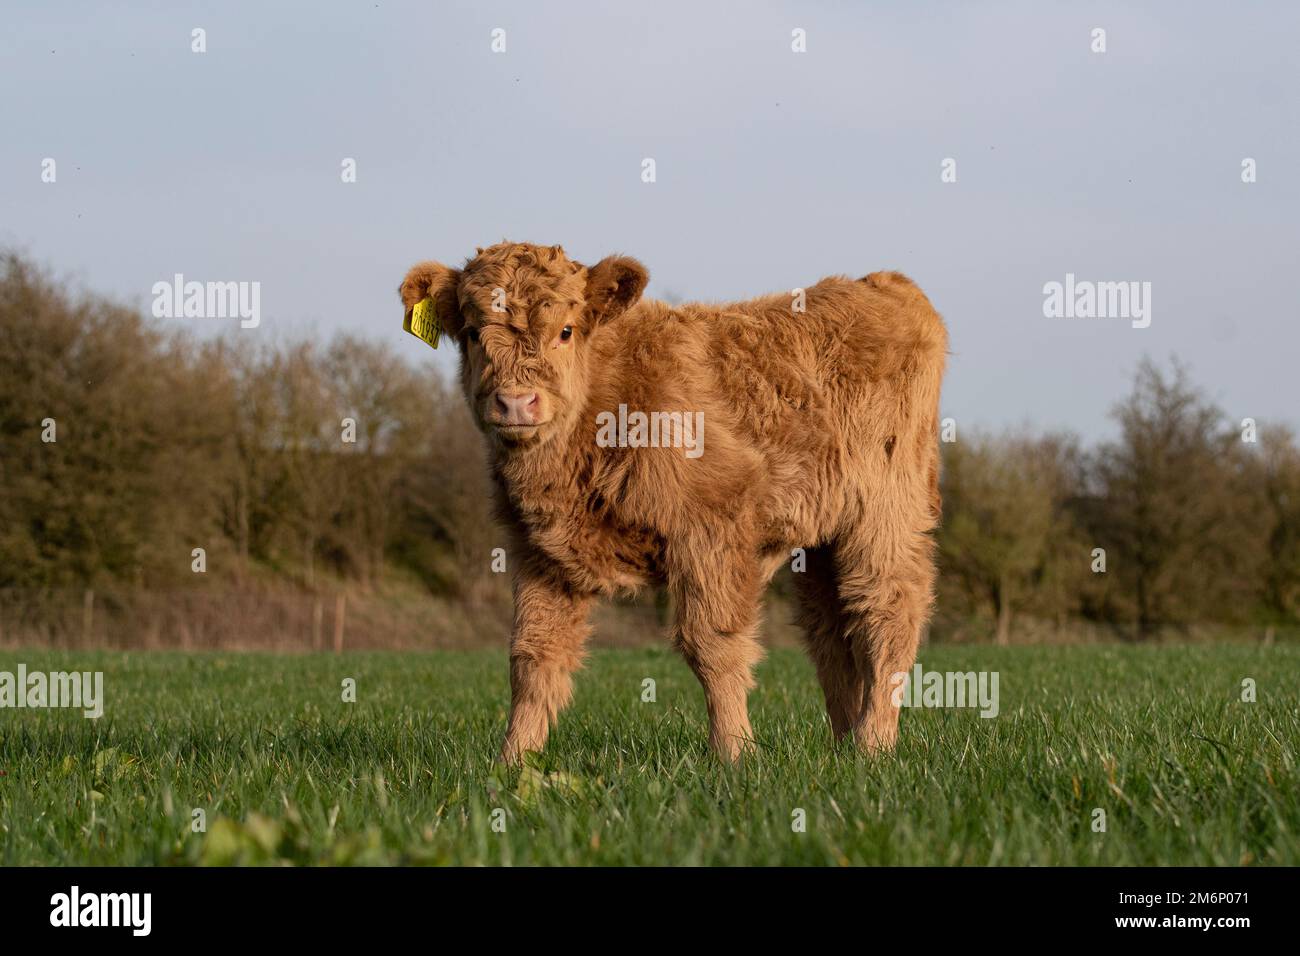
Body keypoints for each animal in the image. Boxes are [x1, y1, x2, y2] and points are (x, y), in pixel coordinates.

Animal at [399, 242, 947, 762]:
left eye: (566, 331)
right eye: (473, 333)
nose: (516, 402)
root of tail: (882, 283)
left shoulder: (712, 532)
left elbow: (713, 647)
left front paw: (734, 753)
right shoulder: (538, 554)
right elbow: (533, 658)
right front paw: (513, 762)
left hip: (885, 517)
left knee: (887, 617)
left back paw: (872, 745)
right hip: (820, 541)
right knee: (831, 637)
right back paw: (842, 745)